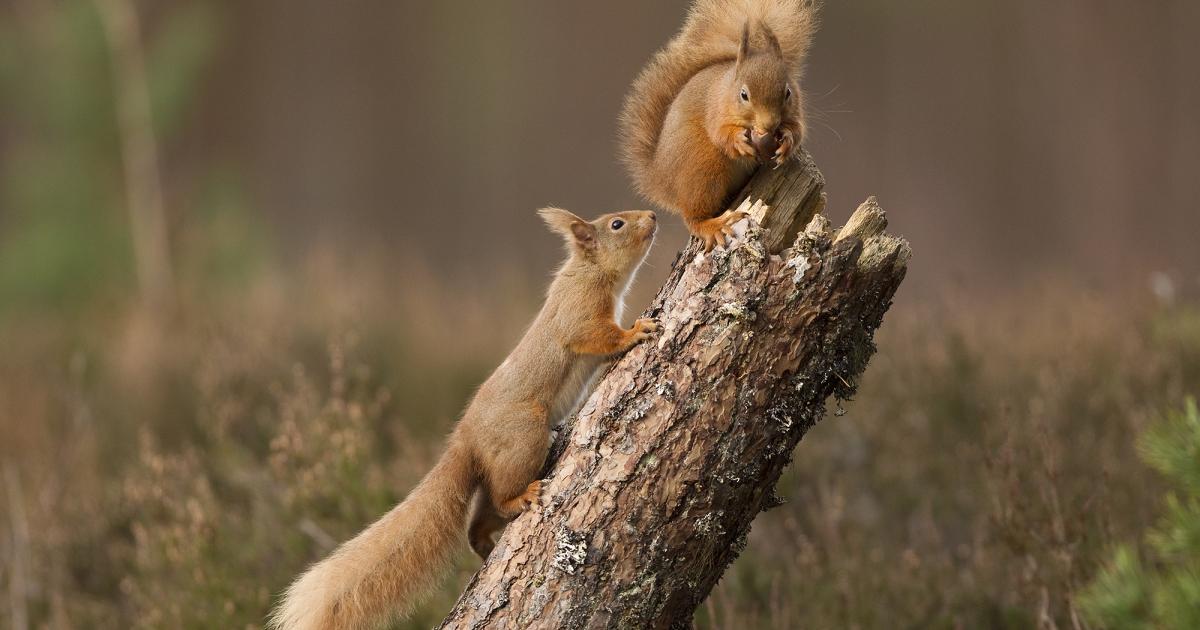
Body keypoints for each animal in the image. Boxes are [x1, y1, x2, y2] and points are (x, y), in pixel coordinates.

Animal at [269, 207, 659, 630]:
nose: (653, 215)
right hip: (524, 438)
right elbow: (599, 337)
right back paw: (522, 498)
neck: (590, 272)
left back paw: (485, 542)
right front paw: (637, 331)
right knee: (502, 497)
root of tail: (466, 439)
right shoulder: (579, 315)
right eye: (617, 224)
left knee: (479, 519)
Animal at [619, 0, 818, 251]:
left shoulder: (795, 111)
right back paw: (712, 225)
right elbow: (720, 134)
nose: (769, 125)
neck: (726, 87)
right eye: (744, 94)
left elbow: (797, 129)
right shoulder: (714, 110)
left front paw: (787, 143)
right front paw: (739, 142)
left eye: (788, 92)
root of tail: (664, 180)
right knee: (693, 218)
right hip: (704, 167)